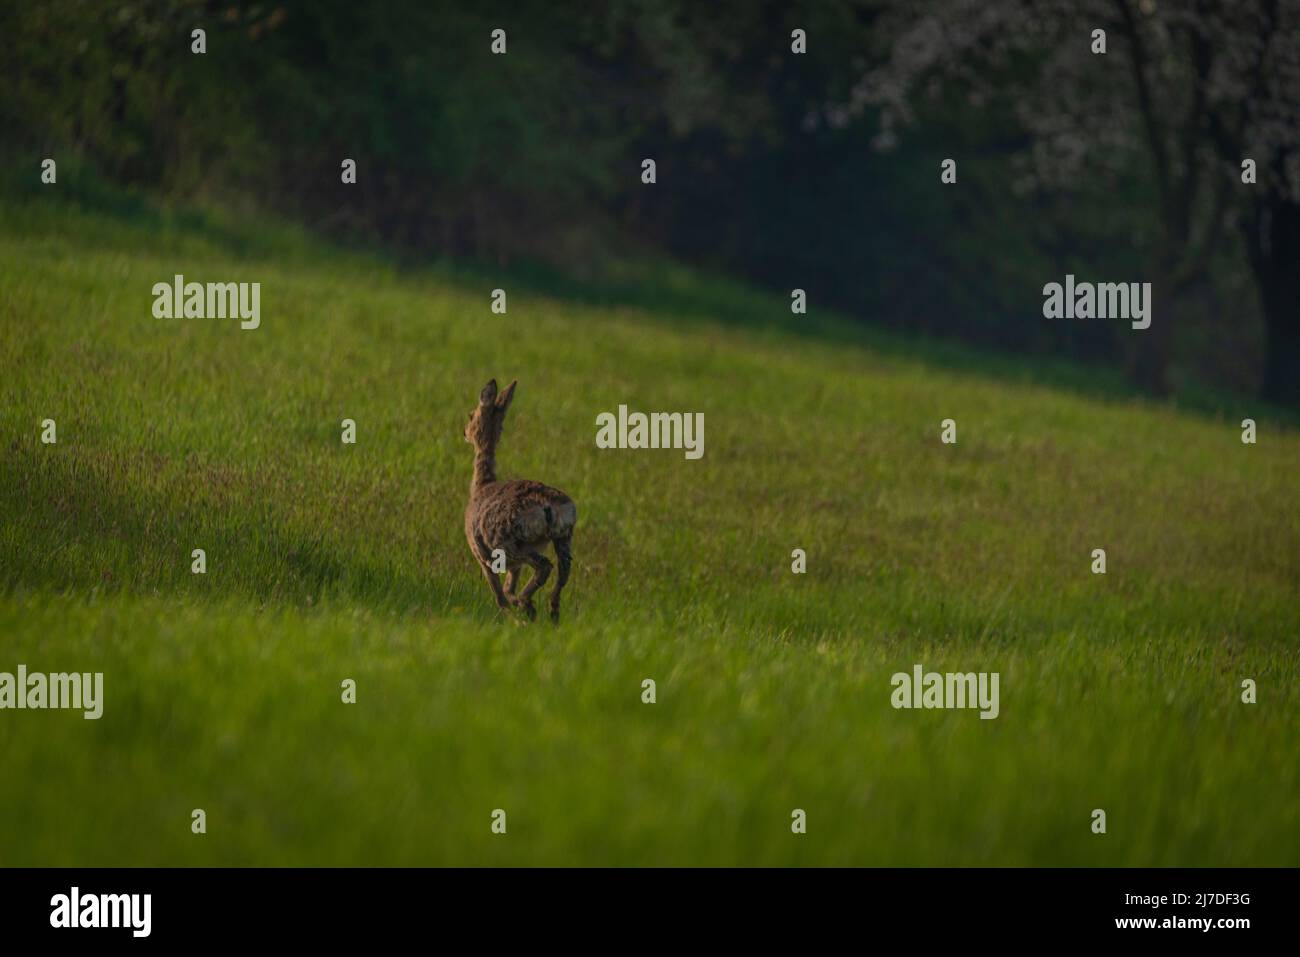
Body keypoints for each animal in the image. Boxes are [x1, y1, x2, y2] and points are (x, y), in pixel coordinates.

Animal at [463, 379, 577, 622]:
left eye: (471, 415)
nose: (464, 432)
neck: (481, 486)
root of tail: (547, 506)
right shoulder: (513, 567)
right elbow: (508, 587)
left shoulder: (482, 555)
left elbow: (499, 593)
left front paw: (513, 617)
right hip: (563, 537)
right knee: (563, 570)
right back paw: (552, 613)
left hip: (508, 542)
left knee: (544, 566)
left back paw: (528, 606)